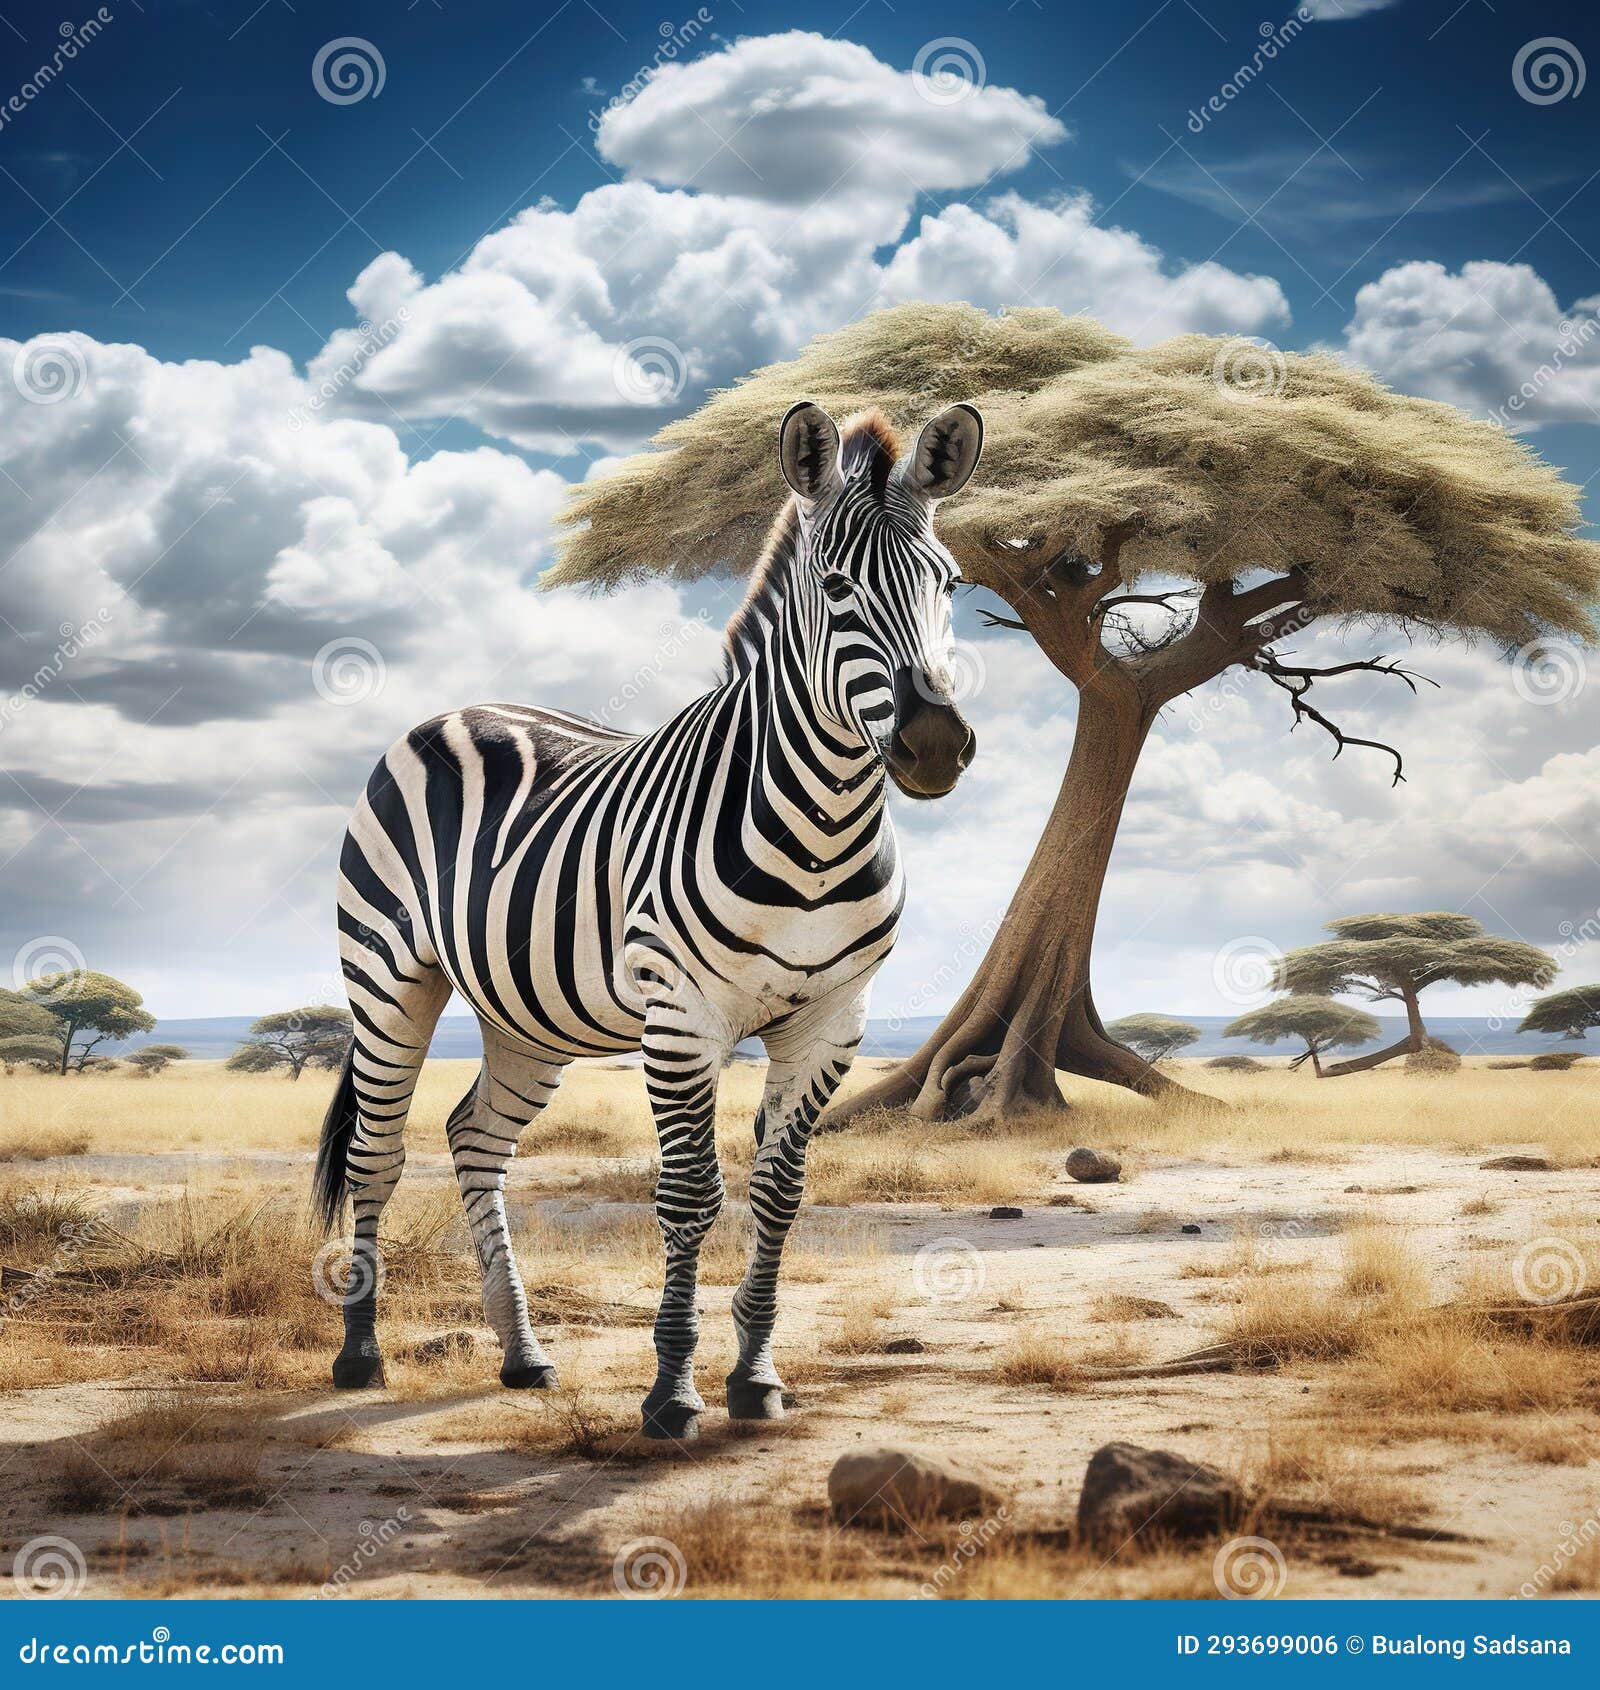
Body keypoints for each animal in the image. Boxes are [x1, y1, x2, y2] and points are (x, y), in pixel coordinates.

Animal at [313, 398, 983, 1439]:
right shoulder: (680, 1016)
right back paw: (360, 1354)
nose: (936, 745)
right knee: (378, 1153)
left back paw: (523, 1354)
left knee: (476, 1137)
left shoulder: (833, 1021)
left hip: (527, 1017)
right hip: (388, 977)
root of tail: (459, 708)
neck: (821, 827)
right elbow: (690, 1193)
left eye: (949, 584)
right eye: (836, 587)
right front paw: (672, 1392)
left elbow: (779, 1194)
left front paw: (756, 1377)